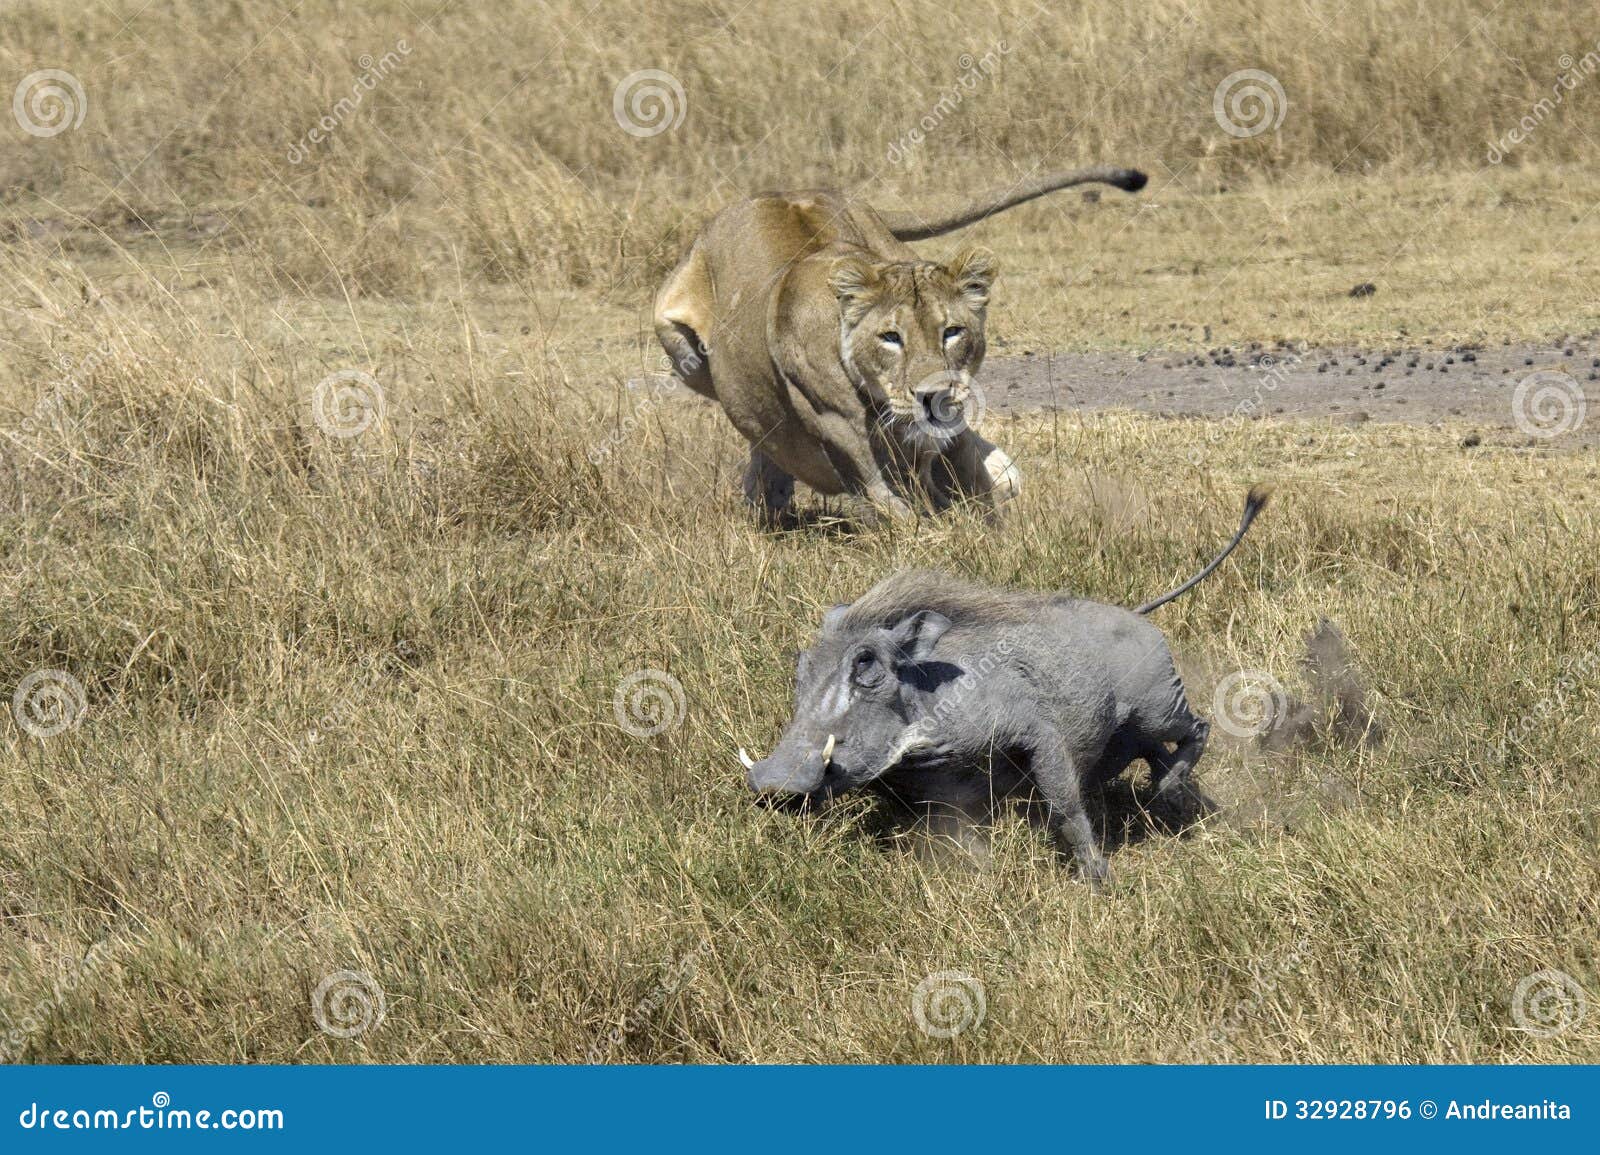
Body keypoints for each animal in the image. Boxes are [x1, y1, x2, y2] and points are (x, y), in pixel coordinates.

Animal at [653, 165, 1147, 524]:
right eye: (891, 338)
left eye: (952, 332)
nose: (935, 396)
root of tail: (789, 189)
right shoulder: (847, 439)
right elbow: (901, 512)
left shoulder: (947, 437)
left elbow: (979, 489)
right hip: (681, 348)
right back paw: (766, 492)